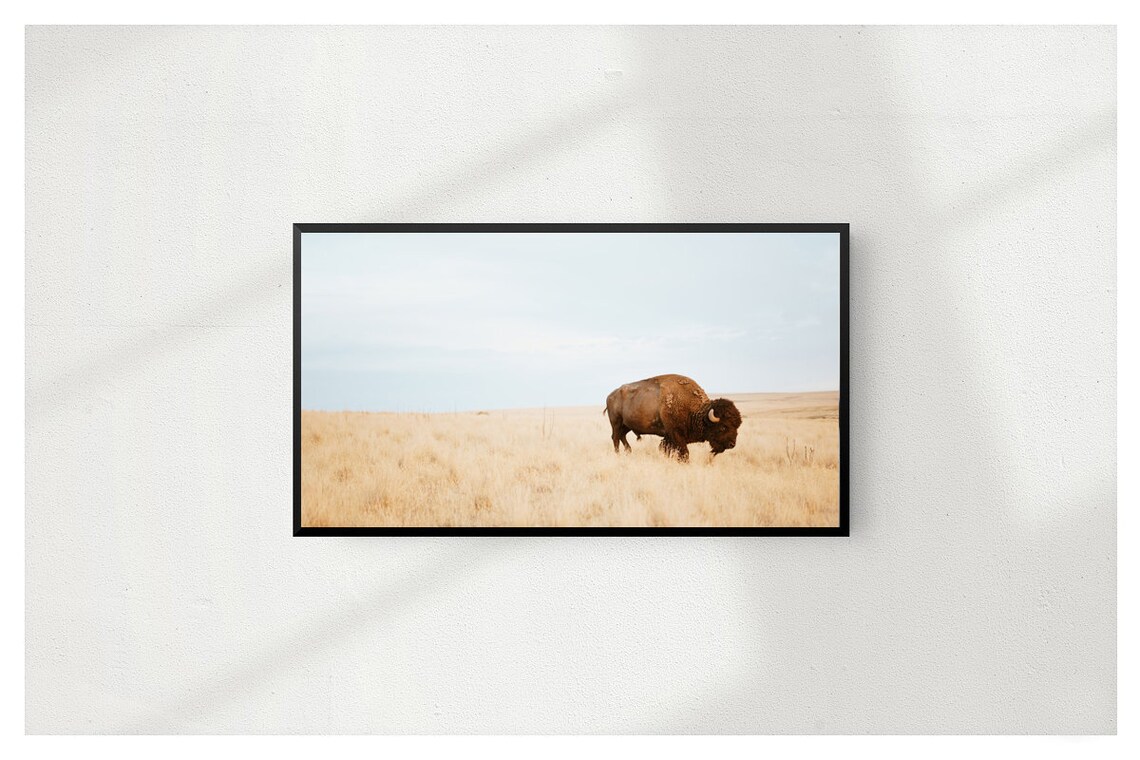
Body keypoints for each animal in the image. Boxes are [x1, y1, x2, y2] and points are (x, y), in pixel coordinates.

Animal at [605, 374, 742, 462]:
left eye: (737, 426)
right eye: (723, 427)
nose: (732, 444)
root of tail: (610, 395)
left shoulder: (670, 437)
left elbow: (666, 449)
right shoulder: (676, 435)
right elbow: (684, 452)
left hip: (626, 425)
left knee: (622, 436)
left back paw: (629, 452)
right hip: (616, 423)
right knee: (615, 438)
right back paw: (618, 455)